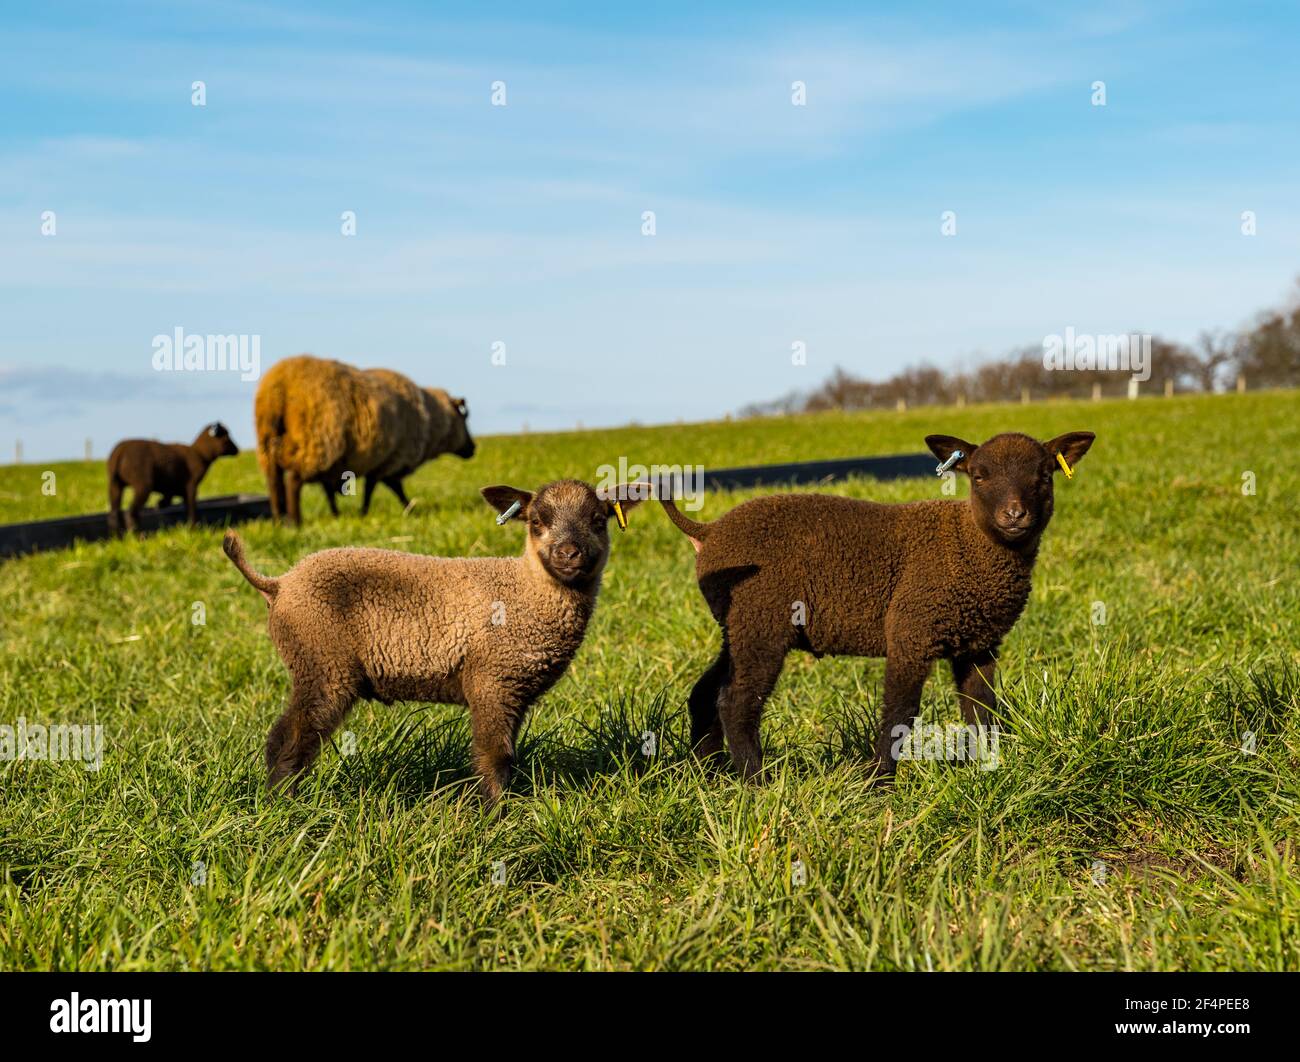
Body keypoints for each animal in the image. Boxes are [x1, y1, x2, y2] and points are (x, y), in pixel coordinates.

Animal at [107, 422, 240, 535]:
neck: (199, 454)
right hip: (142, 483)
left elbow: (168, 500)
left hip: (115, 484)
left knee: (114, 514)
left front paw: (159, 504)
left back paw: (117, 536)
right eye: (226, 437)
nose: (238, 450)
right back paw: (136, 535)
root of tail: (120, 451)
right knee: (131, 512)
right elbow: (191, 508)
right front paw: (193, 528)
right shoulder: (190, 486)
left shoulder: (171, 487)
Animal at [223, 479, 645, 802]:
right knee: (289, 739)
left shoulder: (514, 690)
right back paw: (283, 805)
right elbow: (494, 756)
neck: (525, 590)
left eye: (598, 520)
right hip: (322, 663)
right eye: (537, 521)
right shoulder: (490, 681)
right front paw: (496, 815)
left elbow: (508, 754)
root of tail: (279, 584)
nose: (569, 553)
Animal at [253, 354, 474, 525]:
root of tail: (278, 387)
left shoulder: (342, 466)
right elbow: (383, 488)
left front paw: (338, 514)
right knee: (293, 481)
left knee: (274, 481)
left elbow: (332, 492)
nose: (473, 448)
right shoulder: (391, 460)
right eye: (464, 418)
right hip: (316, 443)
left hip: (270, 443)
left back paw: (279, 520)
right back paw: (295, 521)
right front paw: (403, 508)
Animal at [658, 431, 1096, 779]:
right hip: (761, 619)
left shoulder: (978, 643)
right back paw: (755, 781)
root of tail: (708, 532)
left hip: (735, 624)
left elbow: (981, 710)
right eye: (979, 476)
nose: (1014, 514)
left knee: (705, 693)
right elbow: (900, 712)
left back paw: (707, 771)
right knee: (736, 701)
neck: (970, 545)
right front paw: (880, 781)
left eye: (1044, 476)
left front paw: (985, 767)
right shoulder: (911, 629)